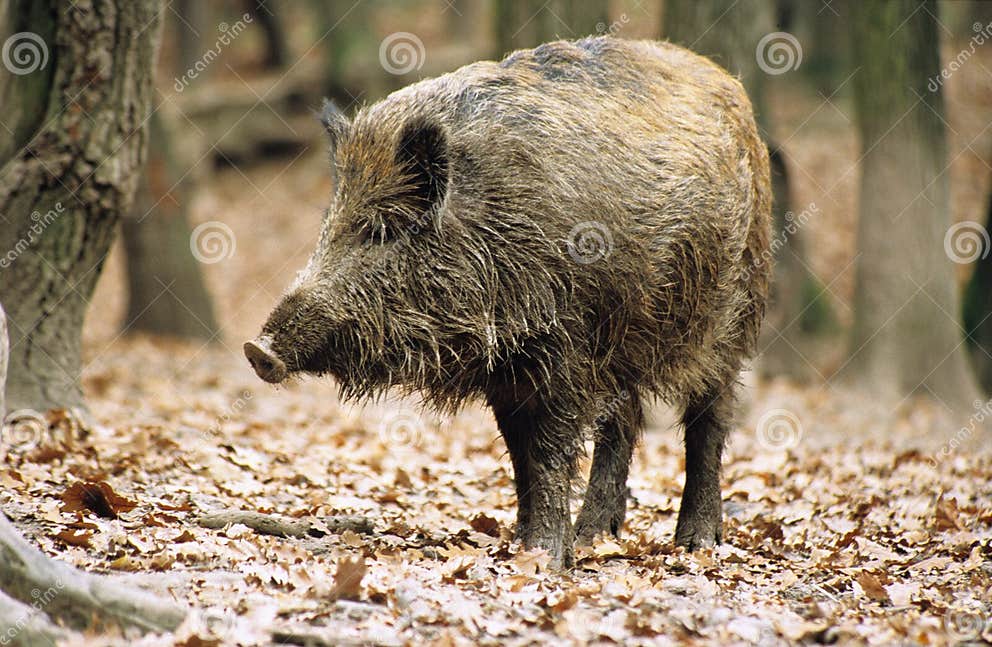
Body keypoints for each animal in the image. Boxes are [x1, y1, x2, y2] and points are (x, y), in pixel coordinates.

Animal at [245, 36, 772, 567]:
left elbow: (549, 451)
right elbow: (521, 455)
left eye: (382, 229)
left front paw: (544, 557)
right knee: (623, 421)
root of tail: (730, 85)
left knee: (709, 418)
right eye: (328, 223)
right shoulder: (510, 370)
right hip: (627, 337)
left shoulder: (565, 350)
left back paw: (696, 543)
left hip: (735, 310)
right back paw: (594, 538)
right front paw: (520, 547)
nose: (258, 350)